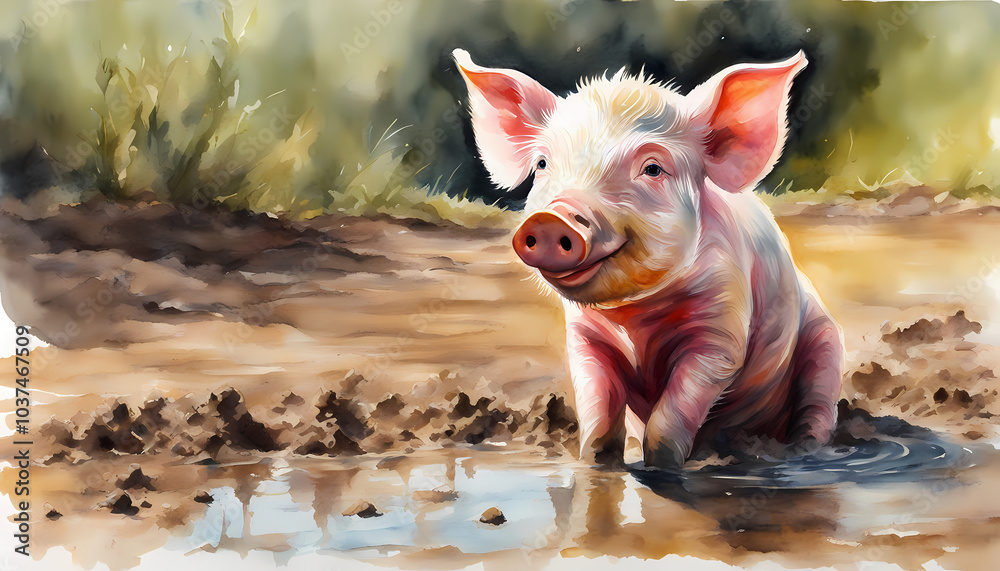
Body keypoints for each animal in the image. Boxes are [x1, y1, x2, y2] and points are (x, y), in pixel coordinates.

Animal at [453, 48, 844, 469]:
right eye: (542, 164)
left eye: (653, 168)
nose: (550, 219)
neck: (633, 319)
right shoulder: (585, 340)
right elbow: (598, 415)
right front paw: (597, 465)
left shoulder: (721, 334)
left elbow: (672, 416)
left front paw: (662, 468)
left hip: (825, 344)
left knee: (816, 411)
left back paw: (801, 454)